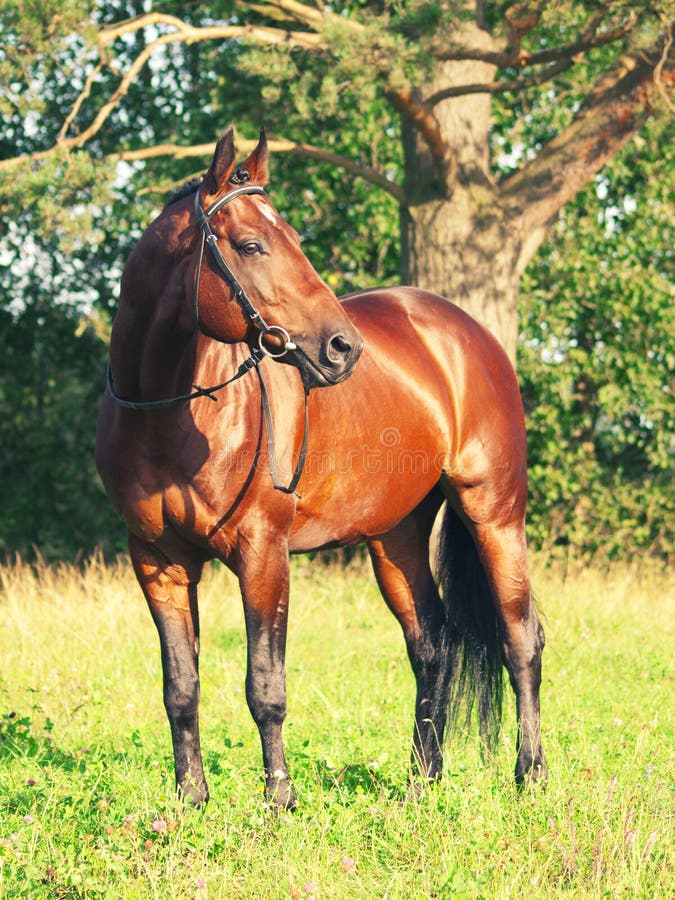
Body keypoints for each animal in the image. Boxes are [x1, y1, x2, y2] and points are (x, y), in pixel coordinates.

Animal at [96, 126, 546, 810]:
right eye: (251, 245)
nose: (343, 348)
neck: (168, 412)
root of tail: (470, 335)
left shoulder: (263, 554)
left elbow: (265, 686)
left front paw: (279, 800)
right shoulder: (157, 561)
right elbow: (180, 686)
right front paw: (191, 800)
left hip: (493, 513)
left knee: (520, 639)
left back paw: (530, 774)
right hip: (396, 537)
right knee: (432, 644)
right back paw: (423, 781)